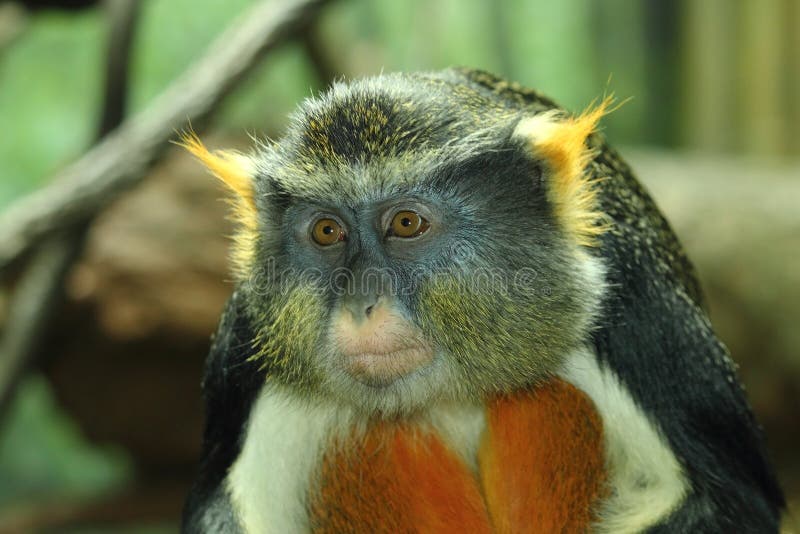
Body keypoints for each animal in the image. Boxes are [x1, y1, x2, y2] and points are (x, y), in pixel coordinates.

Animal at [179, 68, 784, 533]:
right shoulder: (248, 338)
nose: (361, 307)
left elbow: (731, 502)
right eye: (327, 232)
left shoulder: (637, 310)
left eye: (406, 223)